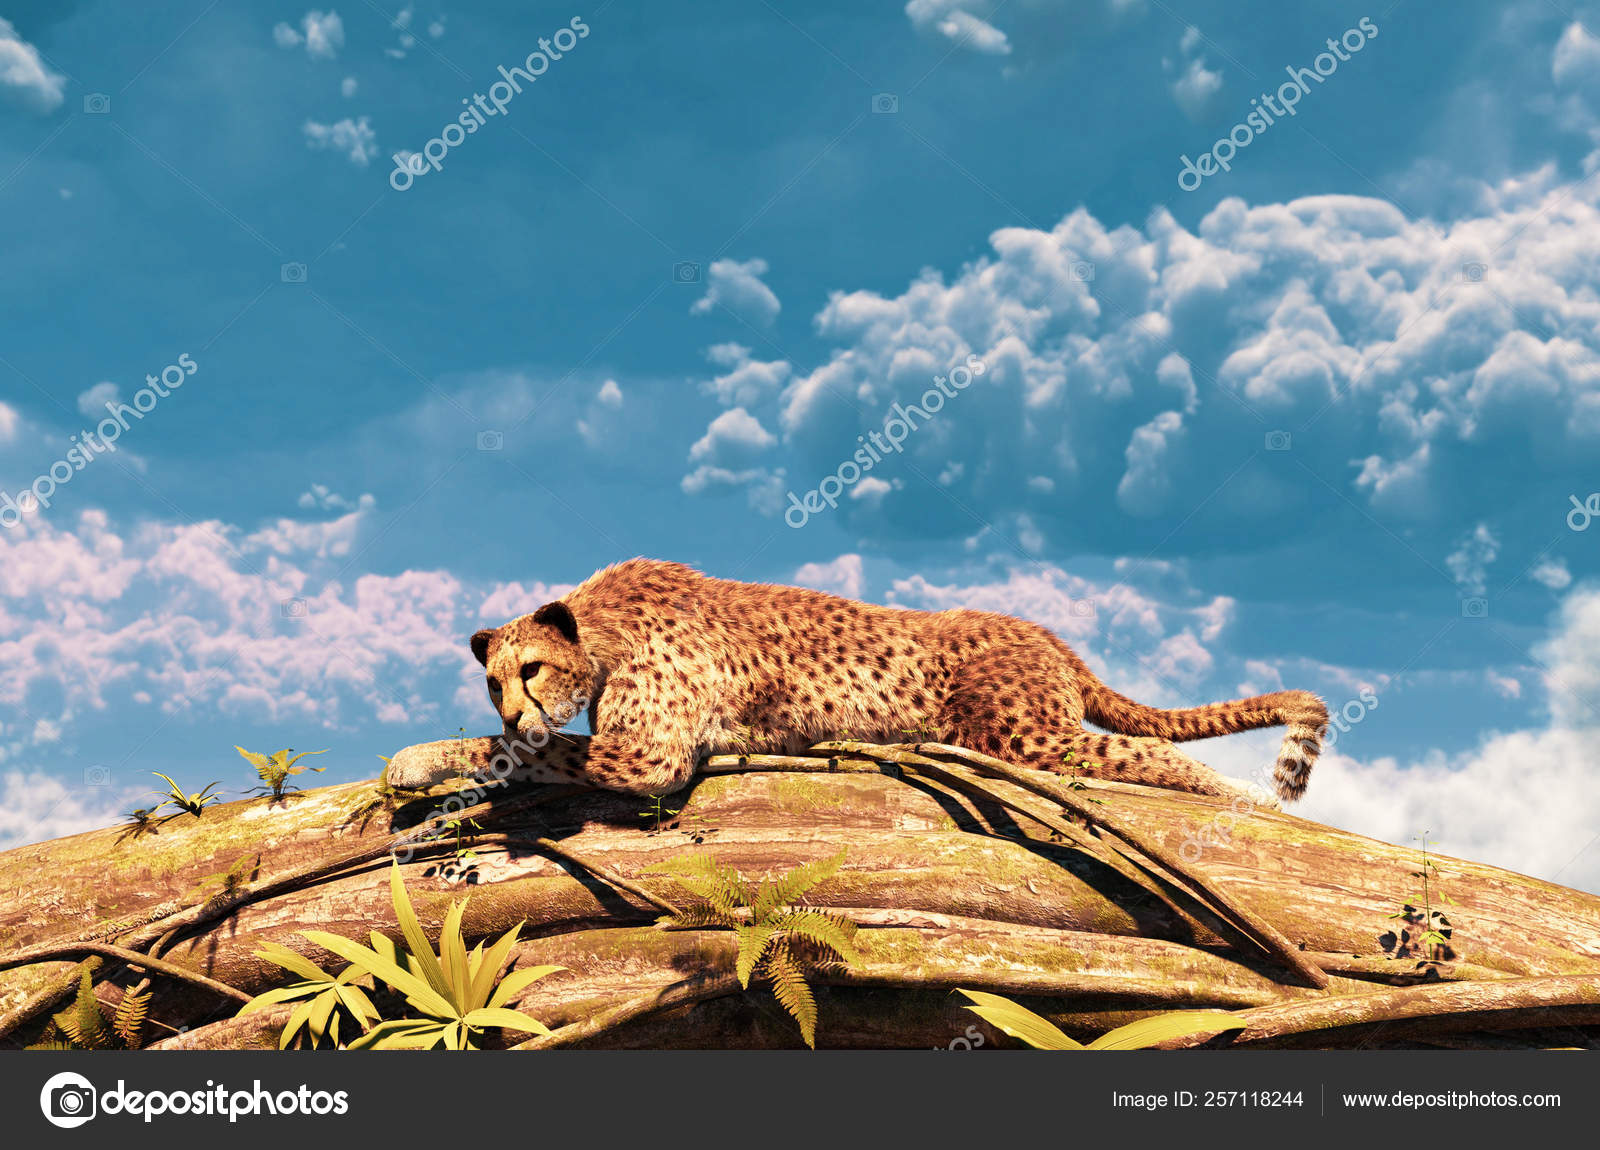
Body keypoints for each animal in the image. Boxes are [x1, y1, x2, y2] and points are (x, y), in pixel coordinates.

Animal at [393, 558, 1328, 803]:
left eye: (532, 670)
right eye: (493, 682)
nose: (515, 713)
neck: (601, 631)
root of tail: (1038, 627)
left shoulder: (650, 756)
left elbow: (530, 757)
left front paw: (416, 759)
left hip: (1022, 735)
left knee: (1158, 760)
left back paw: (1246, 803)